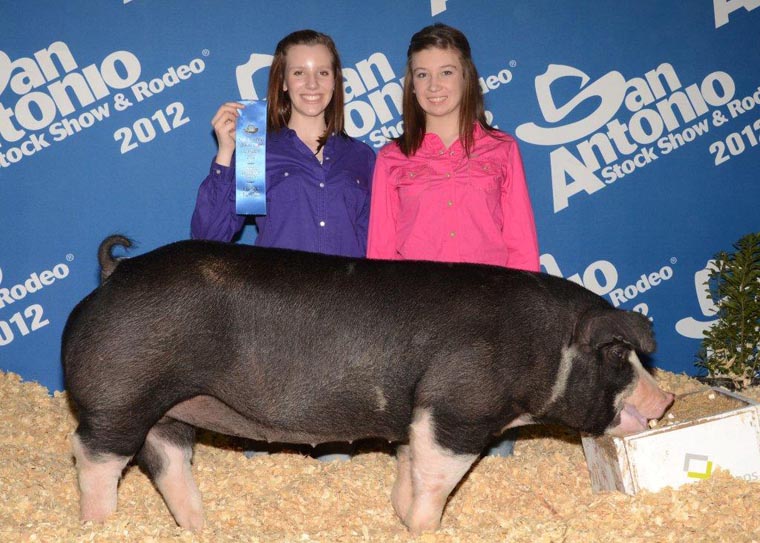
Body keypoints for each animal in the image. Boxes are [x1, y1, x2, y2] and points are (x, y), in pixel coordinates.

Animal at [62, 235, 673, 534]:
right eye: (620, 354)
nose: (666, 396)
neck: (539, 345)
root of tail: (114, 273)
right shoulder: (458, 408)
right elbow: (437, 475)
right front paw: (425, 528)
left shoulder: (414, 412)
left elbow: (408, 466)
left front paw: (400, 517)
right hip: (122, 395)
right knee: (93, 454)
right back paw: (98, 525)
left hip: (169, 409)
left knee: (167, 462)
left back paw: (199, 527)